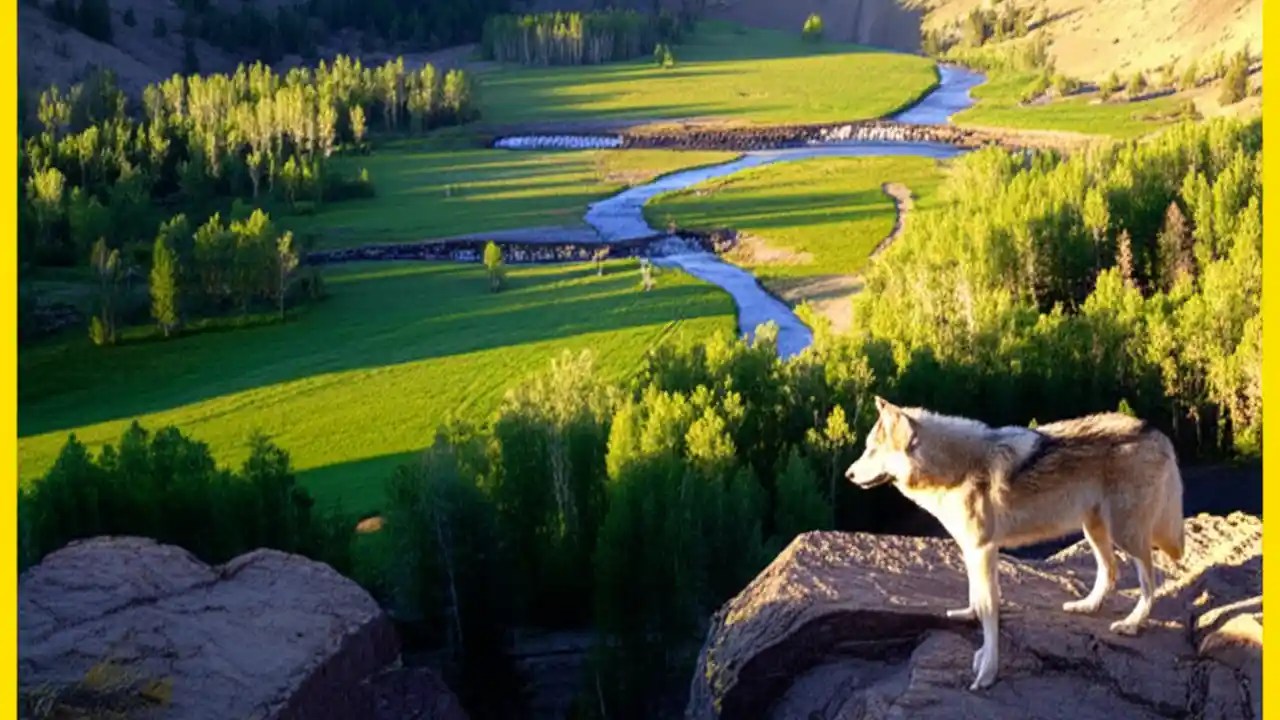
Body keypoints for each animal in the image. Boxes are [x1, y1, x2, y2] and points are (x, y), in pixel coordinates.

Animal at [844, 397, 1185, 690]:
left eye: (872, 450)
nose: (848, 474)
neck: (957, 469)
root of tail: (1156, 431)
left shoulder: (983, 550)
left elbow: (990, 613)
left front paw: (986, 673)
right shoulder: (972, 550)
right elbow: (977, 599)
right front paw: (968, 616)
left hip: (1126, 534)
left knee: (1150, 582)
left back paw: (1131, 624)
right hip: (1094, 529)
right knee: (1110, 571)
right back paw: (1086, 606)